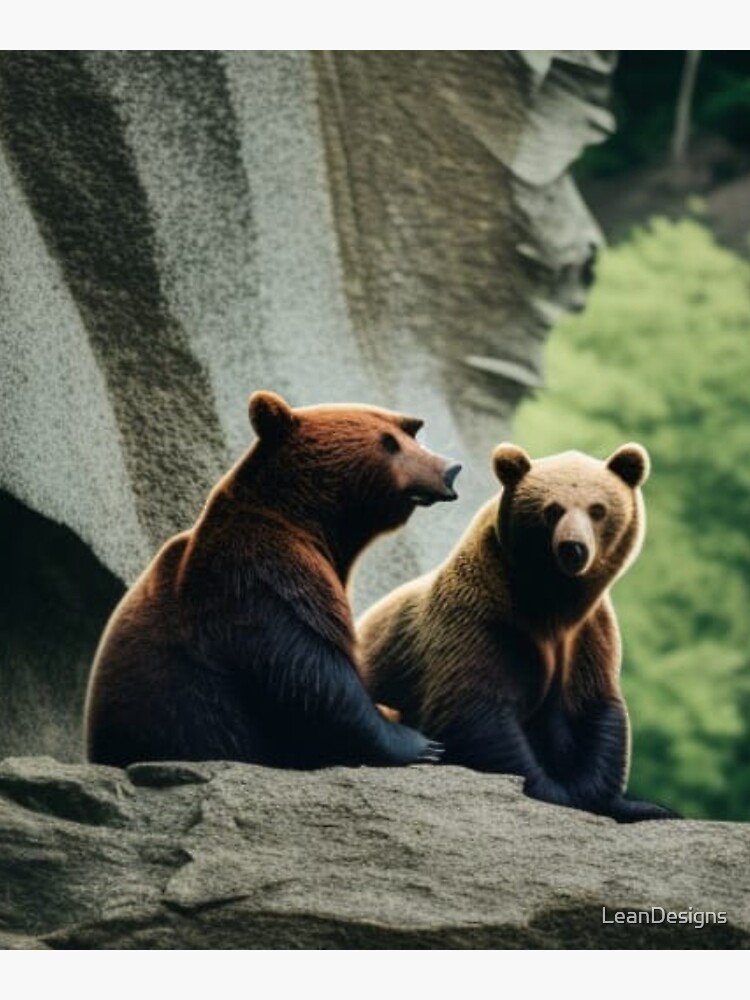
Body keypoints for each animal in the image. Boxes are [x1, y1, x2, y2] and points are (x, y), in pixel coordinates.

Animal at [84, 390, 462, 769]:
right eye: (388, 443)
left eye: (409, 434)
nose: (450, 469)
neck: (307, 520)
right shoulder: (260, 577)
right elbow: (310, 673)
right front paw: (420, 743)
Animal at [357, 442, 677, 822]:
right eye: (552, 510)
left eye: (598, 509)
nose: (573, 548)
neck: (549, 604)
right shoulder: (481, 623)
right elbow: (479, 712)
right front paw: (550, 791)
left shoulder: (585, 636)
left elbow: (594, 710)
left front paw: (635, 803)